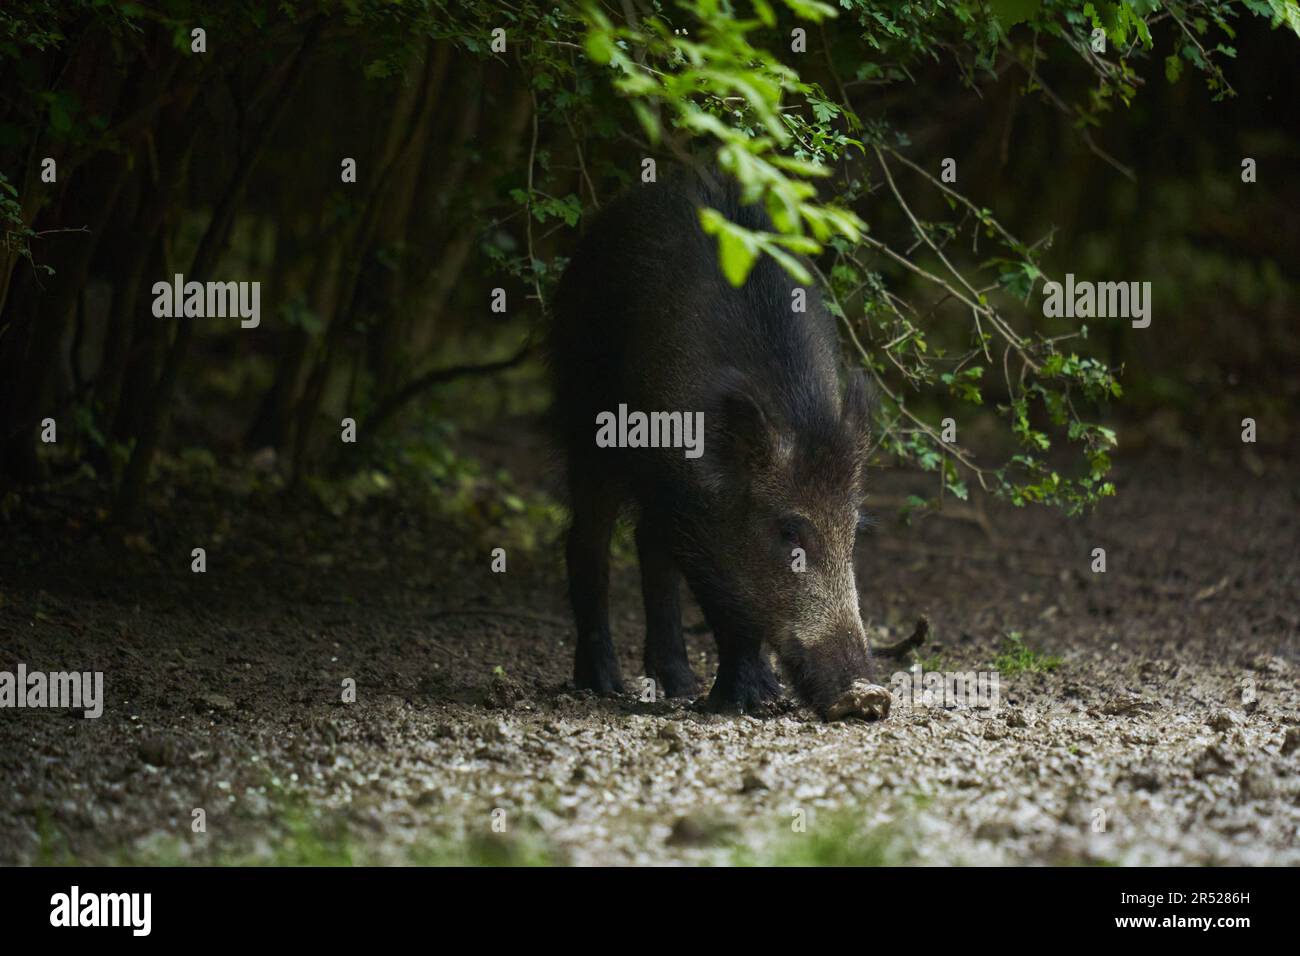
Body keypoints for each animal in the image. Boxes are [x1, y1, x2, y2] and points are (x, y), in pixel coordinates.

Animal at [548, 167, 889, 721]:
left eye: (854, 531)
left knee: (647, 544)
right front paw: (747, 700)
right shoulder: (693, 507)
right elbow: (730, 600)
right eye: (789, 531)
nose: (868, 695)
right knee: (587, 539)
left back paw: (678, 684)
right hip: (584, 421)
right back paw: (602, 684)